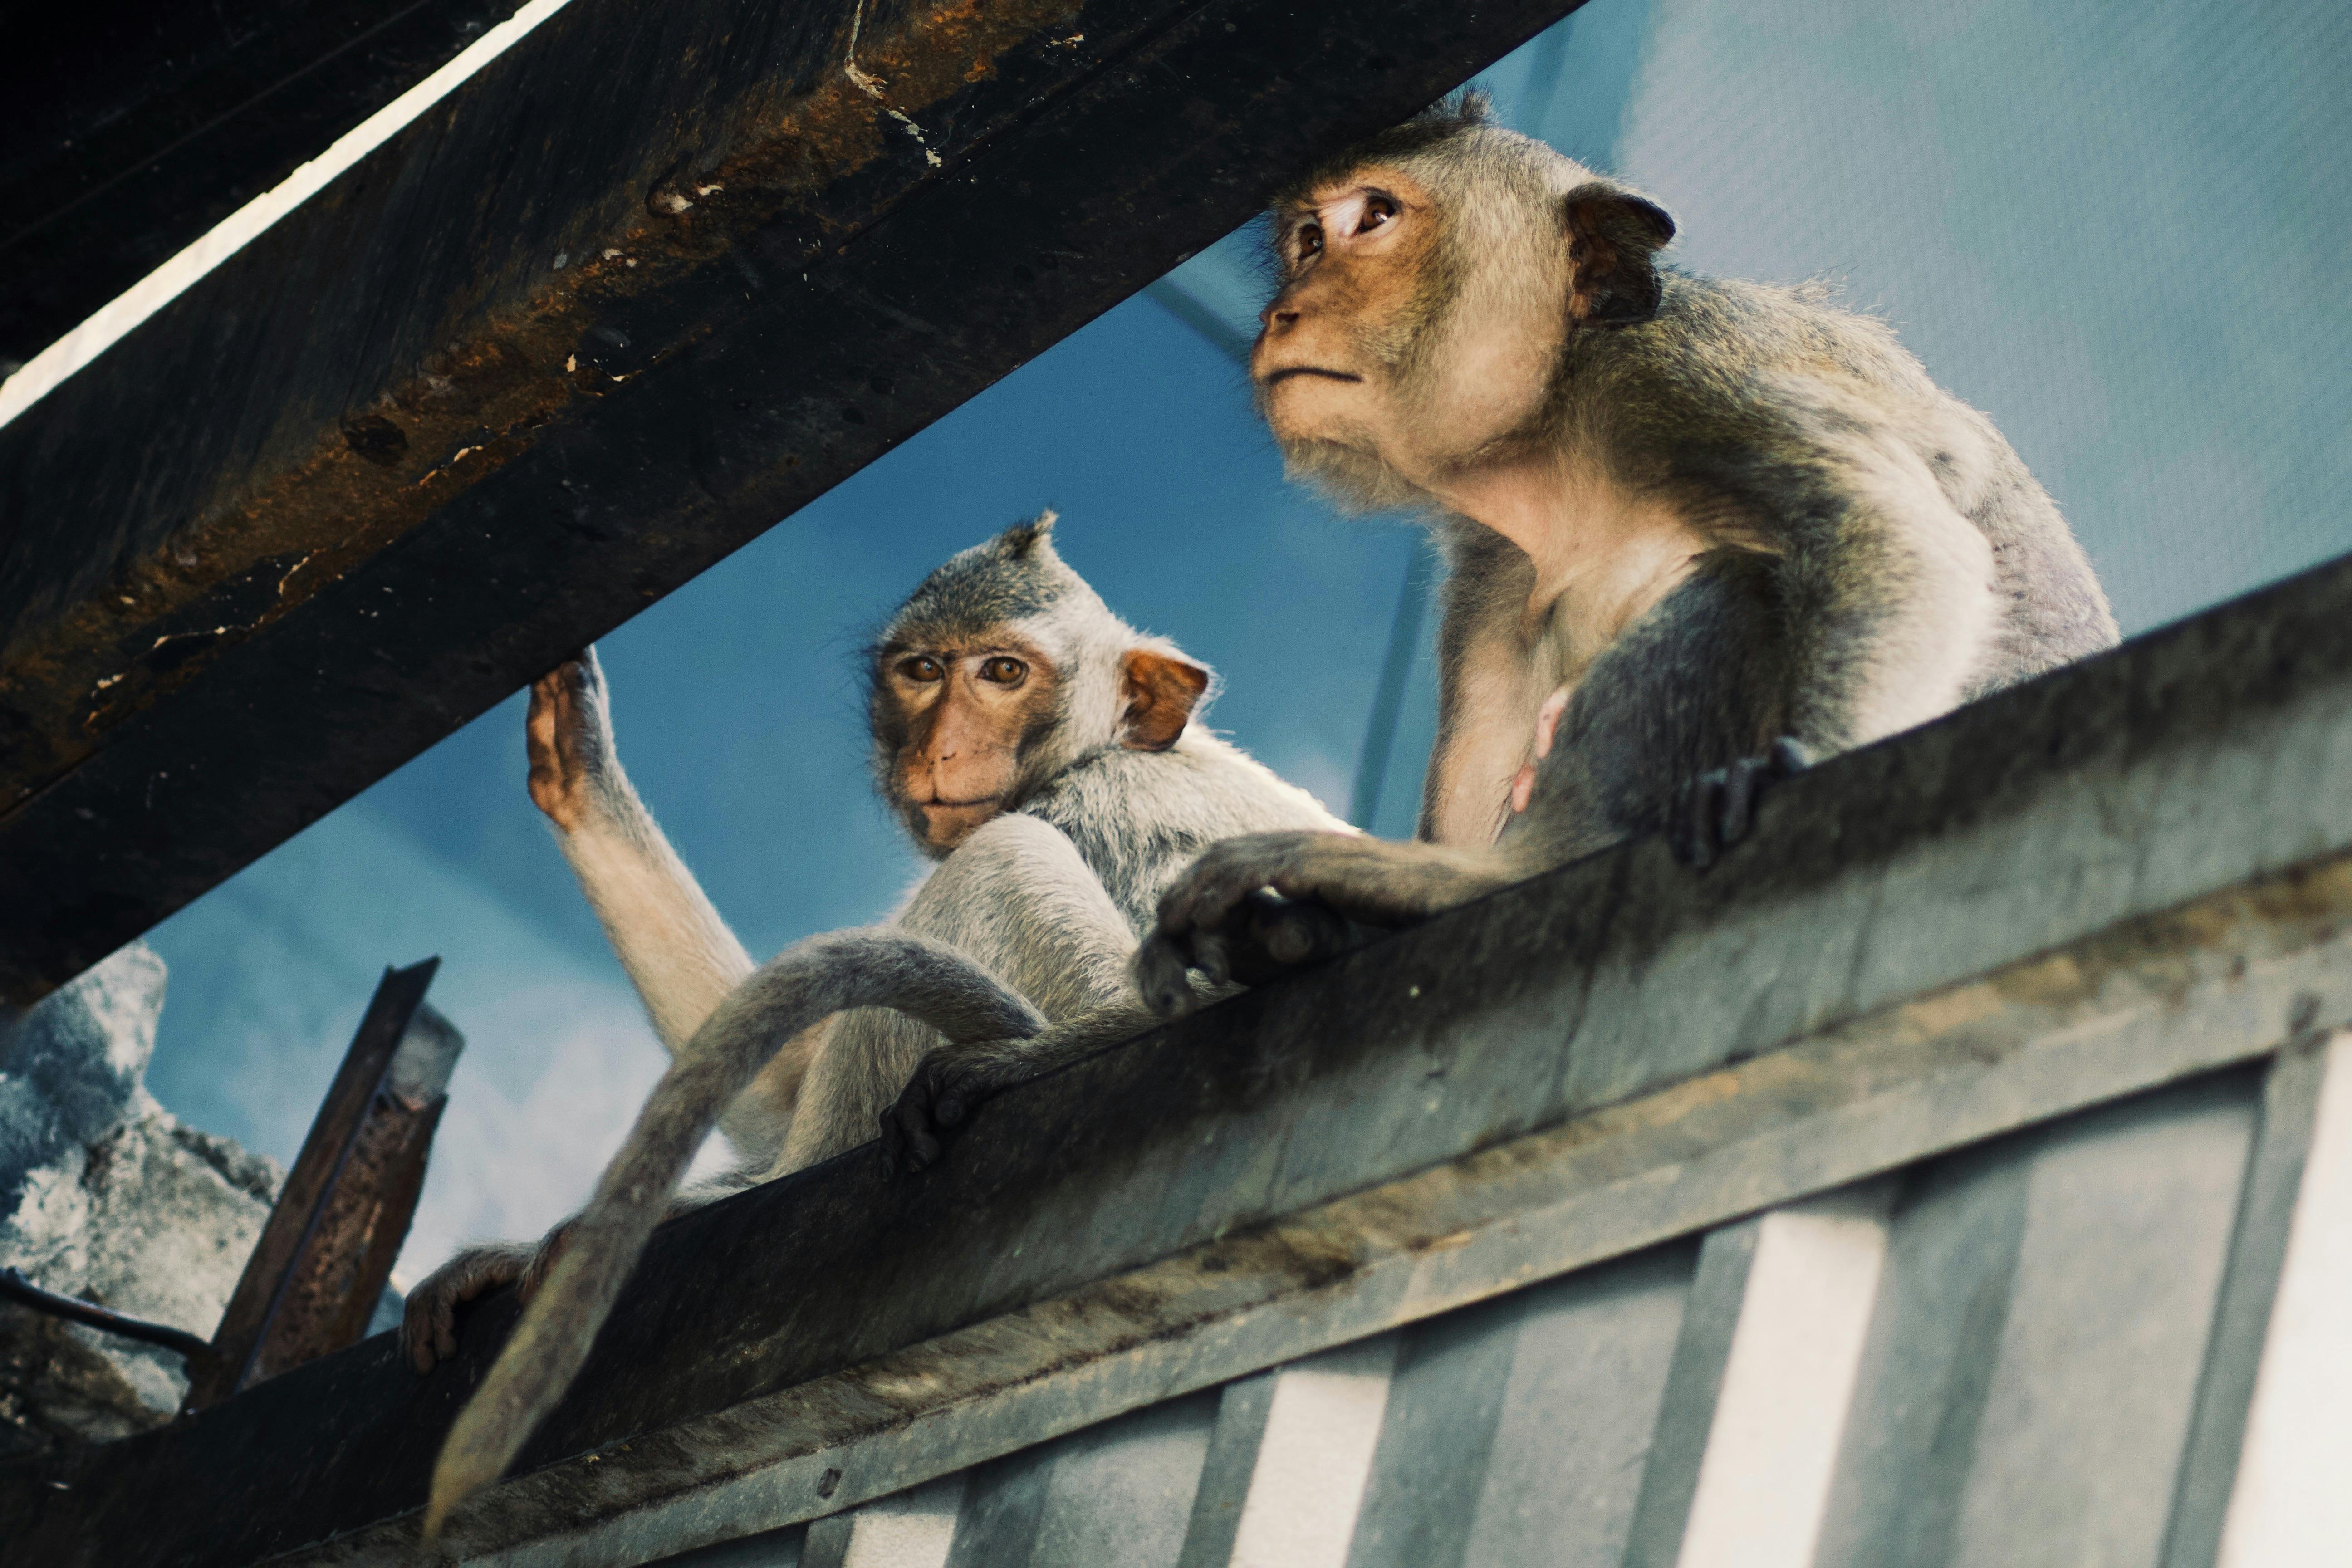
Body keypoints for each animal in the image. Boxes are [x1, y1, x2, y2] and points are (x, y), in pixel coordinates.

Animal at [405, 515, 1349, 1535]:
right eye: (924, 670)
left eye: (1004, 673)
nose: (938, 748)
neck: (1101, 752)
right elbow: (780, 1082)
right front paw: (577, 758)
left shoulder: (1095, 811)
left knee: (996, 864)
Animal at [1134, 93, 2117, 1015]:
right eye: (1306, 239)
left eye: (1373, 217)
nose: (1283, 312)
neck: (1559, 434)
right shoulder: (1495, 565)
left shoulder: (1678, 366)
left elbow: (1893, 525)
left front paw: (1804, 761)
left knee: (1742, 578)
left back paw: (1485, 879)